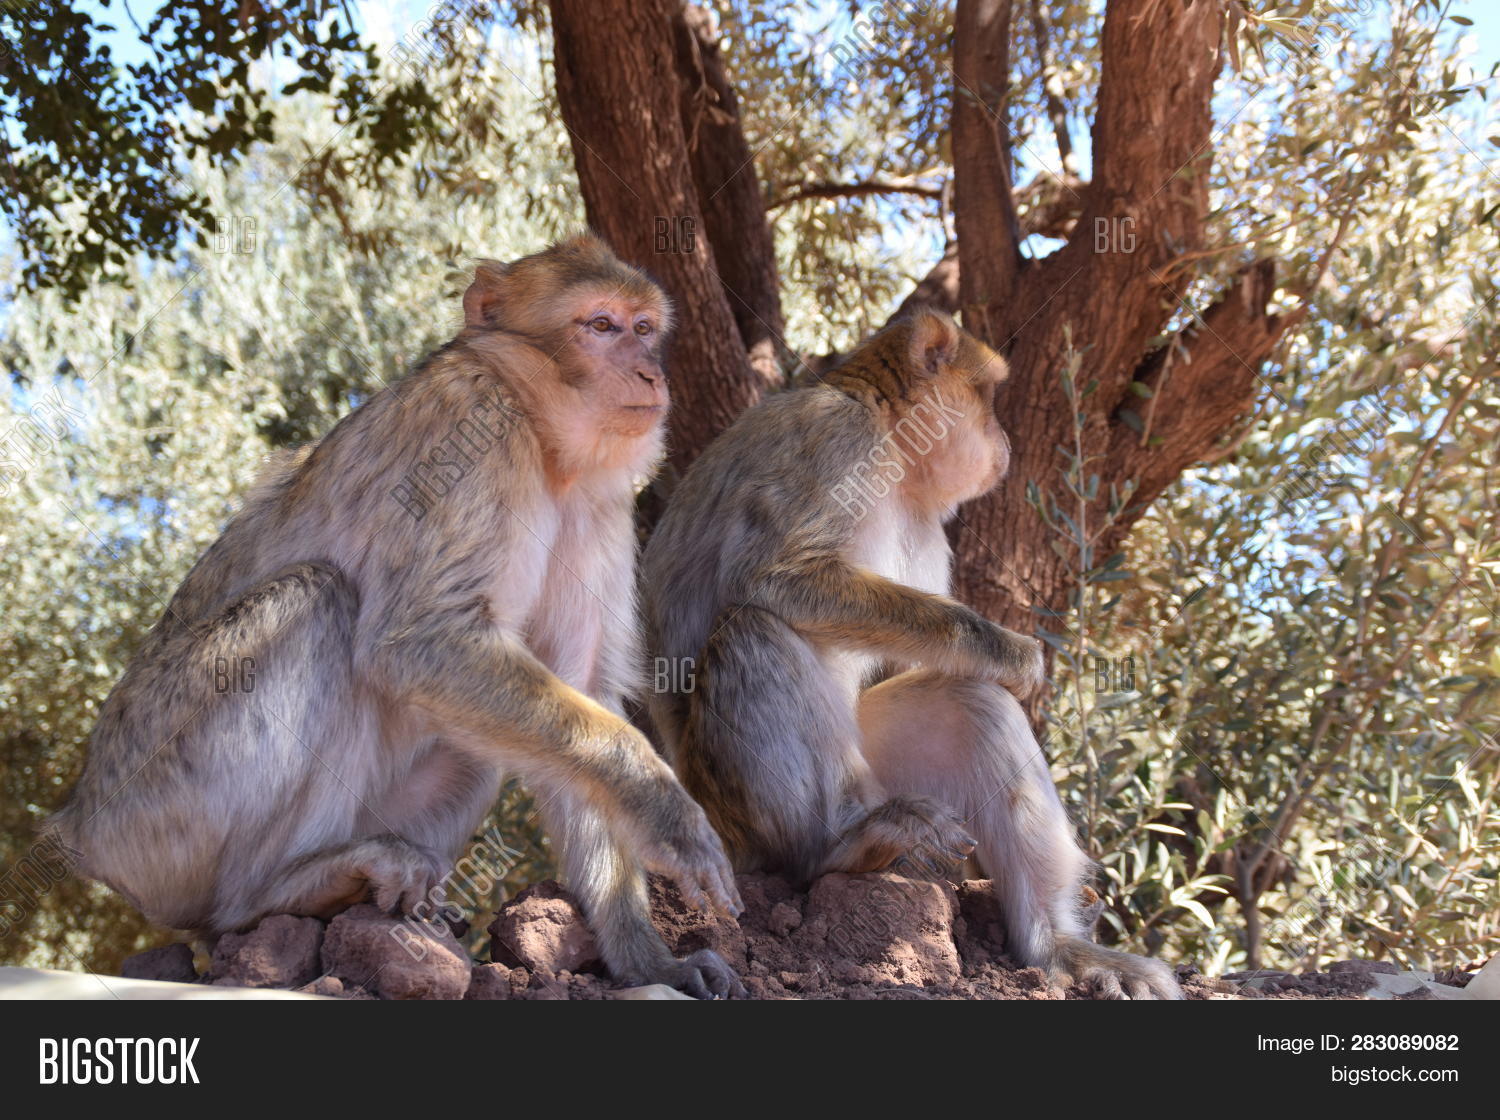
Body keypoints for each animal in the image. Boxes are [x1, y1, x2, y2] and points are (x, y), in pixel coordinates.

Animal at [49, 233, 744, 999]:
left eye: (644, 328)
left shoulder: (599, 503)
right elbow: (417, 644)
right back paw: (283, 891)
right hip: (160, 815)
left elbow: (579, 688)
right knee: (315, 604)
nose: (650, 372)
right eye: (601, 325)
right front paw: (660, 801)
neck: (542, 439)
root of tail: (83, 821)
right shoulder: (471, 423)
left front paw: (649, 960)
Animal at [642, 308, 1181, 999]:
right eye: (991, 394)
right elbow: (772, 579)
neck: (893, 452)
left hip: (881, 768)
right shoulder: (835, 441)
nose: (1006, 439)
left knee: (971, 705)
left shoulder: (926, 522)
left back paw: (1055, 944)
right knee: (753, 633)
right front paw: (1010, 653)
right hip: (734, 821)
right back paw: (834, 846)